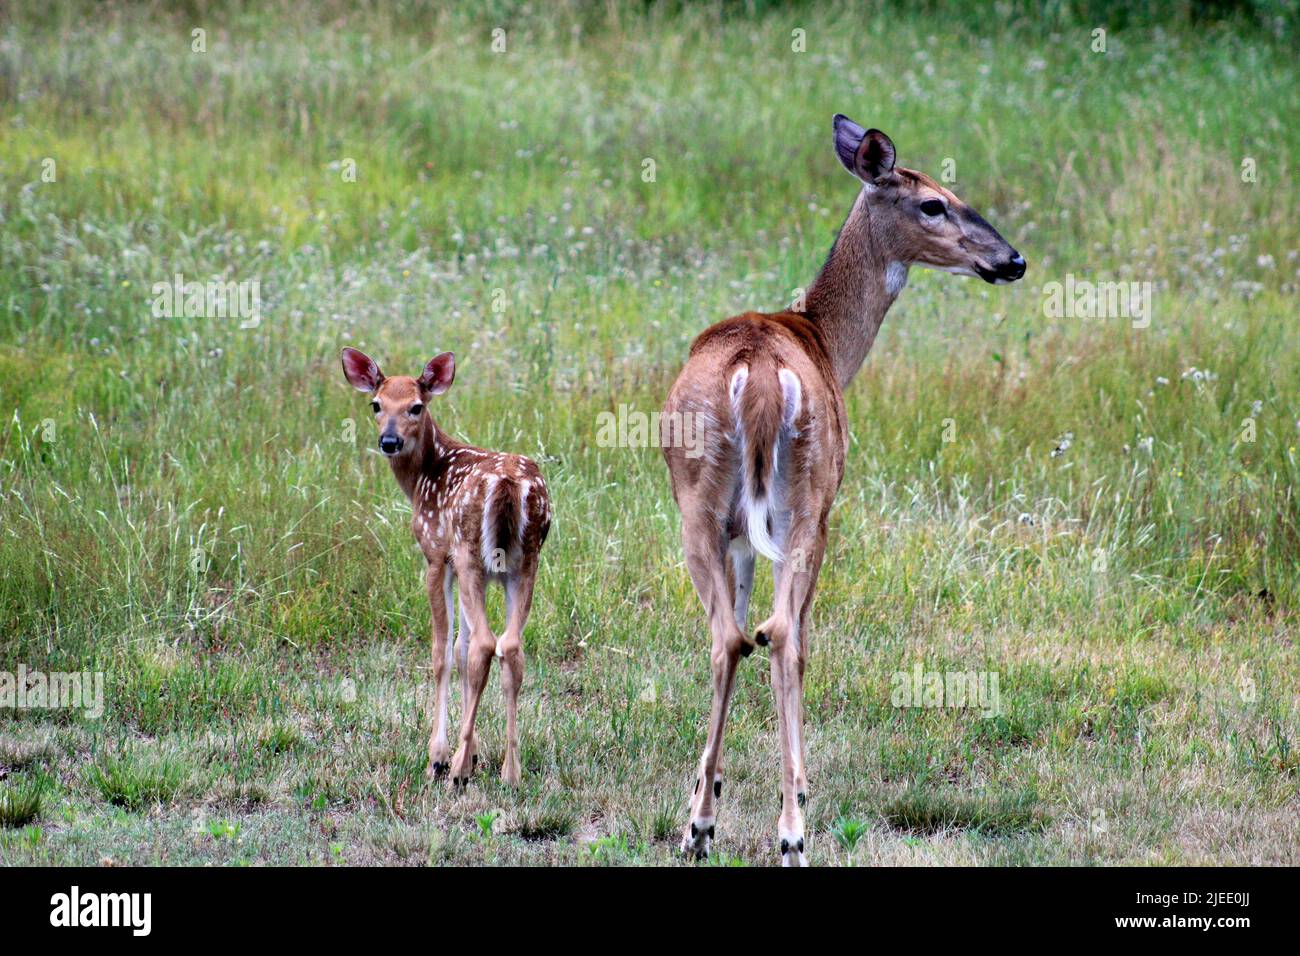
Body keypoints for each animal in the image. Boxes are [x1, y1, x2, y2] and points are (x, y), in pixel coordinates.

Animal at [341, 347, 551, 789]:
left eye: (416, 407)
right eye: (376, 404)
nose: (389, 441)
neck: (425, 476)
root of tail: (509, 485)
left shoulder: (437, 554)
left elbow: (443, 652)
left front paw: (440, 756)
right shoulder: (476, 569)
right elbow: (462, 646)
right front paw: (472, 756)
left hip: (471, 554)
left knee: (489, 643)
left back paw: (452, 769)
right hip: (525, 563)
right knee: (510, 645)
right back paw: (509, 771)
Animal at [662, 115, 1026, 865]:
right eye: (935, 203)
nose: (1013, 260)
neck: (824, 341)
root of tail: (760, 375)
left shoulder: (745, 532)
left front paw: (712, 798)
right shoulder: (804, 515)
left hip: (717, 506)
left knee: (738, 636)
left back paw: (713, 827)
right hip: (797, 504)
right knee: (773, 635)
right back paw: (782, 828)